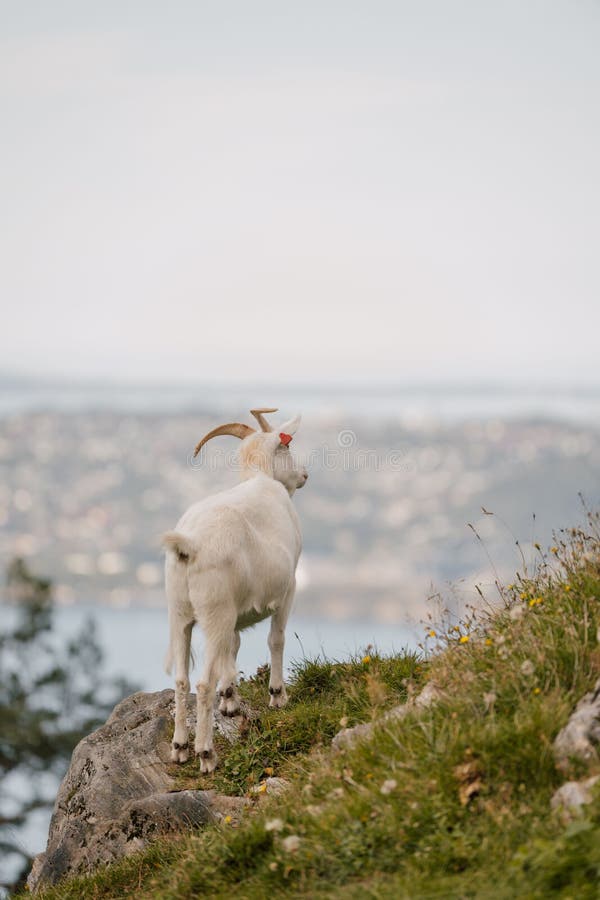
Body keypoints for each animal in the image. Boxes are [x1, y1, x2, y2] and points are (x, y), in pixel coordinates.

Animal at [162, 408, 308, 773]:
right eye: (287, 447)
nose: (304, 475)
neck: (260, 477)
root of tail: (189, 545)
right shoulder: (289, 587)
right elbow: (276, 639)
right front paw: (277, 696)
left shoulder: (236, 612)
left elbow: (235, 646)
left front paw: (230, 700)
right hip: (215, 612)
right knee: (203, 683)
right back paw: (206, 754)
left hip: (180, 614)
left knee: (182, 680)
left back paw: (180, 747)